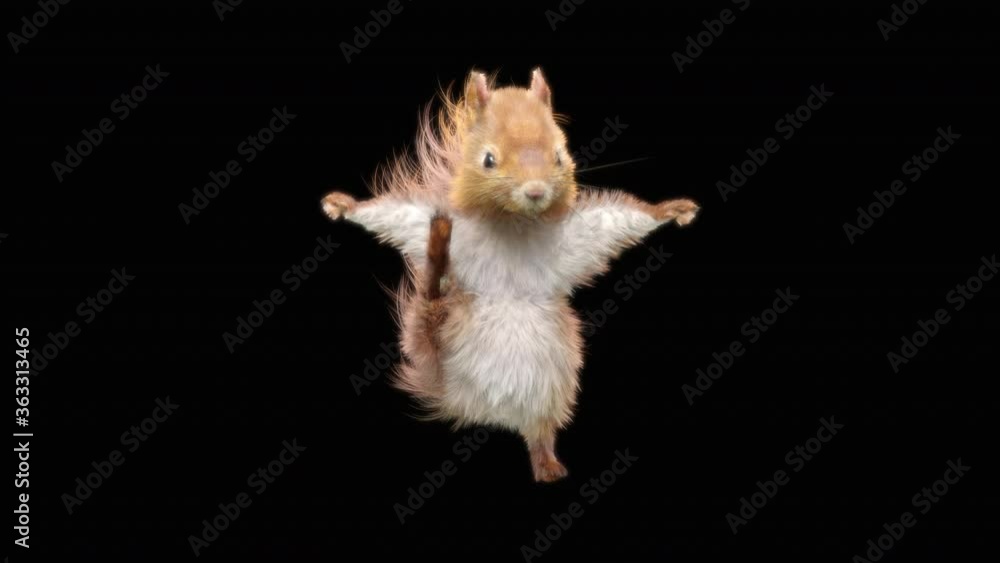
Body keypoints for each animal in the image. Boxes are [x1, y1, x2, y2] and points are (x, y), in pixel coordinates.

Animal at [322, 69, 699, 482]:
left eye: (559, 156)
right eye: (488, 159)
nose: (535, 191)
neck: (514, 225)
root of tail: (483, 408)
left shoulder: (575, 237)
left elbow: (616, 222)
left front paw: (670, 210)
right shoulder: (434, 220)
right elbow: (394, 216)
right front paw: (344, 205)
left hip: (548, 391)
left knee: (540, 433)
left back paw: (547, 464)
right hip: (440, 335)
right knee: (430, 309)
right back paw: (437, 264)